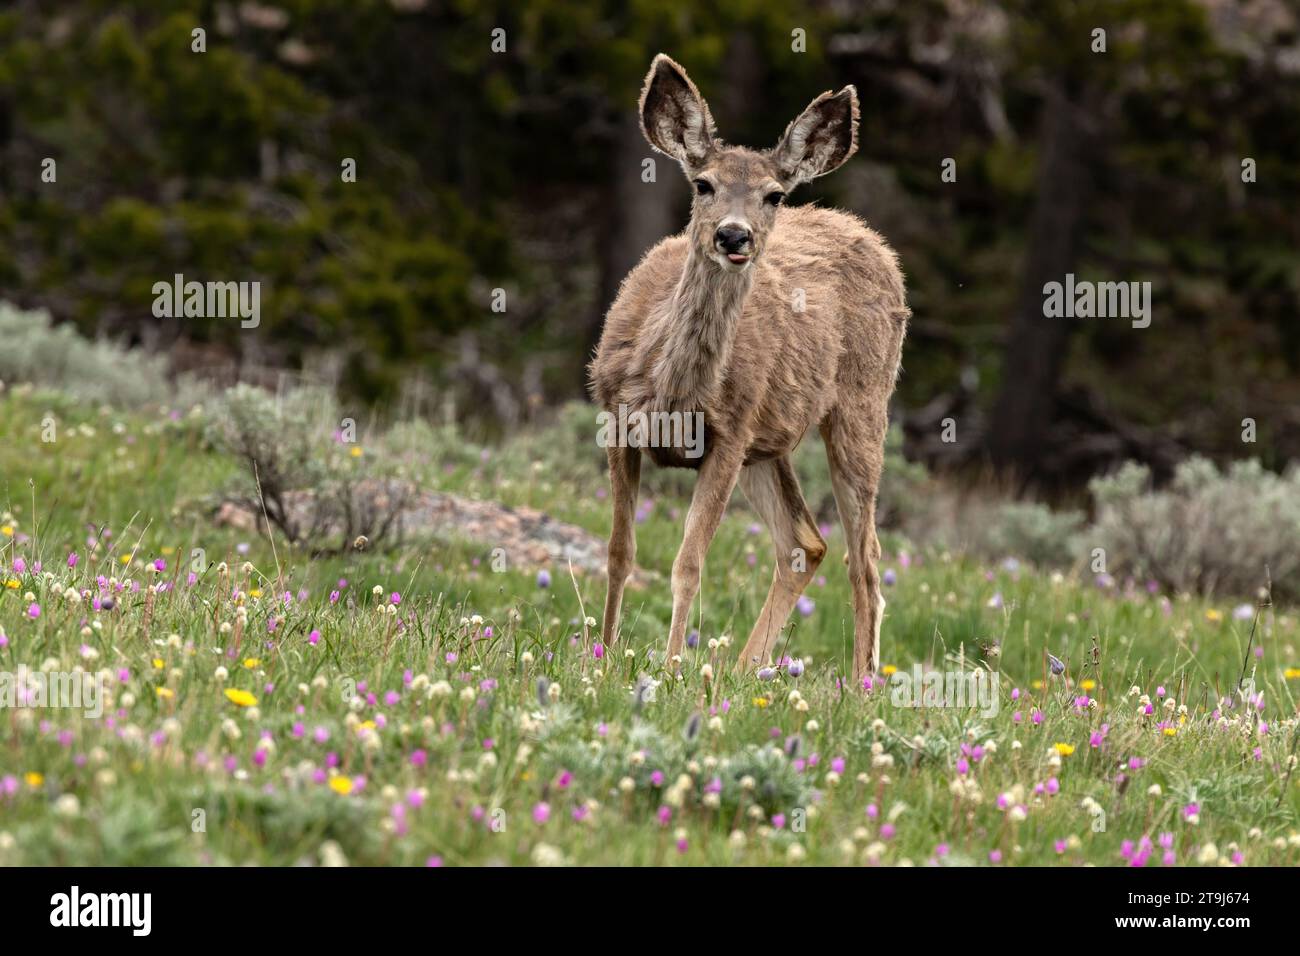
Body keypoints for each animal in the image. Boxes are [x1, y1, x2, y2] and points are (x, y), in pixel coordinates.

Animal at [588, 54, 909, 685]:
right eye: (703, 183)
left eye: (774, 195)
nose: (733, 235)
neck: (671, 393)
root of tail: (872, 238)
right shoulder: (617, 419)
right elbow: (619, 552)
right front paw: (605, 656)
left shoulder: (729, 436)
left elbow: (689, 563)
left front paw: (669, 669)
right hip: (769, 443)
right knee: (806, 542)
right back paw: (744, 669)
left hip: (859, 409)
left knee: (866, 562)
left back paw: (860, 685)